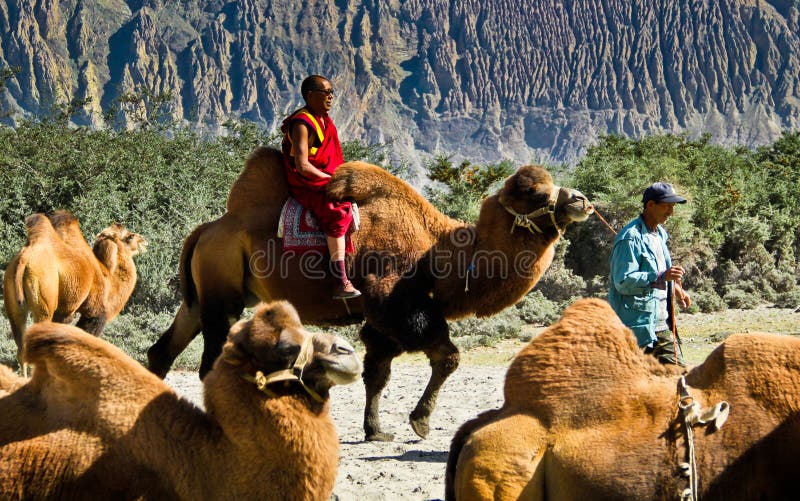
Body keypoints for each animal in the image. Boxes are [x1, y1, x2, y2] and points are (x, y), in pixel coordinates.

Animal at [3, 211, 147, 365]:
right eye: (129, 236)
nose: (144, 240)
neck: (108, 276)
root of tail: (25, 258)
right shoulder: (93, 312)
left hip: (13, 303)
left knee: (21, 347)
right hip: (44, 304)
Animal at [147, 146, 593, 441]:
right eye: (536, 194)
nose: (582, 200)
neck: (438, 251)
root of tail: (205, 231)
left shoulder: (382, 321)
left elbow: (377, 371)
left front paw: (376, 430)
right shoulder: (396, 304)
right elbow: (447, 357)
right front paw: (420, 421)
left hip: (200, 297)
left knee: (164, 349)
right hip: (221, 296)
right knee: (209, 359)